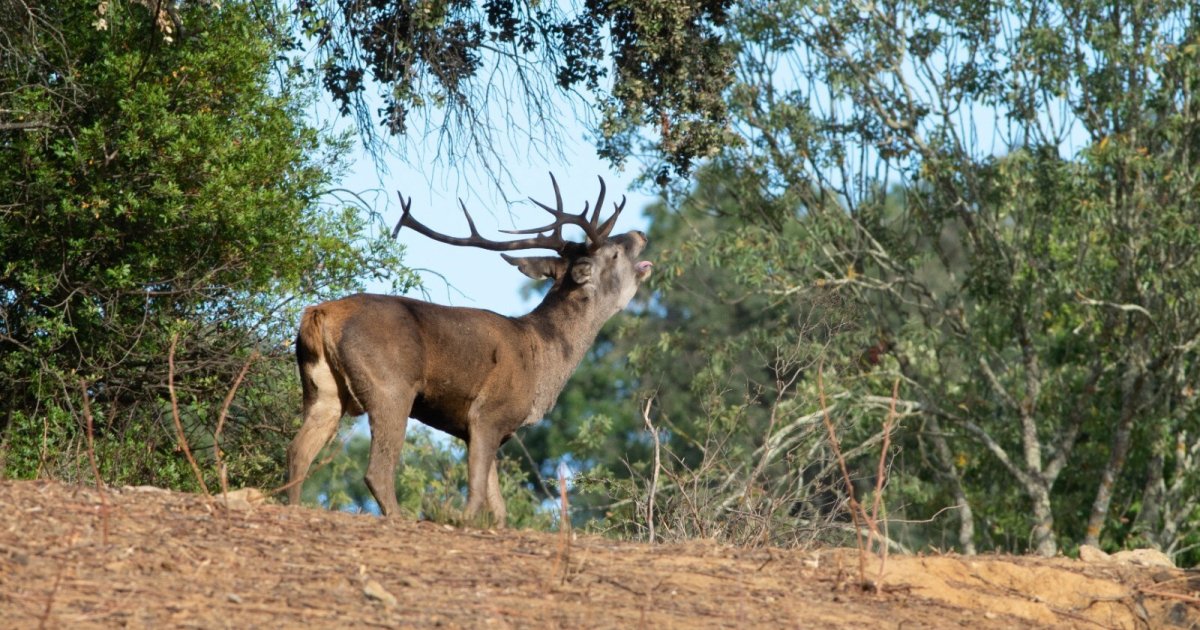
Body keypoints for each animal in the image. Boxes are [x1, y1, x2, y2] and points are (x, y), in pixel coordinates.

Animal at [286, 174, 653, 526]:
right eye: (614, 253)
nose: (640, 233)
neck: (542, 360)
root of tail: (319, 314)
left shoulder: (480, 430)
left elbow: (499, 507)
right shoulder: (489, 412)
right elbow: (476, 495)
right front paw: (462, 522)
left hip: (322, 390)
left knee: (297, 451)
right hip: (390, 386)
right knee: (377, 470)